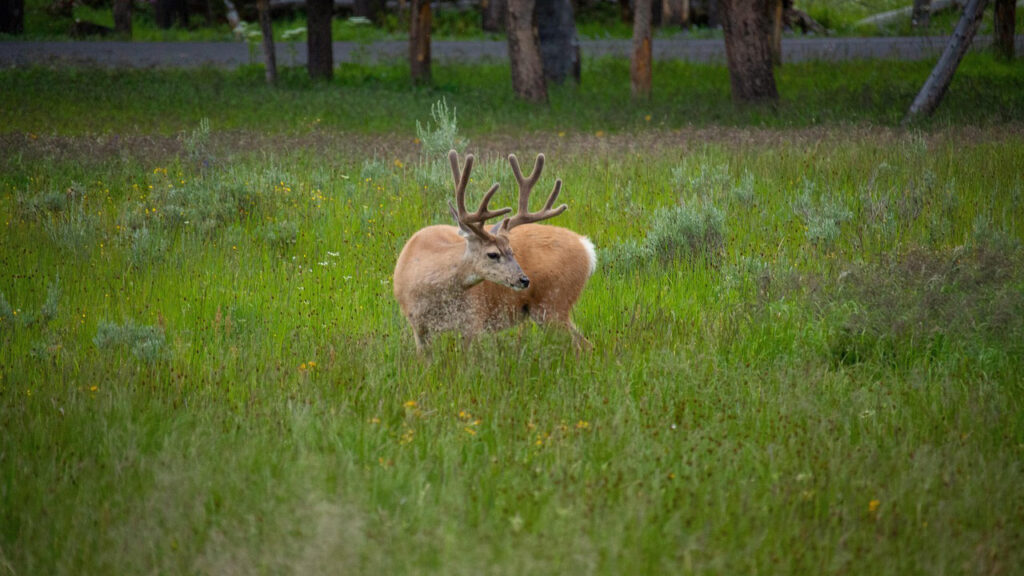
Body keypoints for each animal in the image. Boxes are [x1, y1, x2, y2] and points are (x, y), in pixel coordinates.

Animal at [393, 150, 596, 354]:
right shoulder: (418, 328)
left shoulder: (473, 319)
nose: (524, 280)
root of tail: (587, 247)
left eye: (512, 251)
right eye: (493, 254)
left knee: (582, 344)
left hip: (554, 302)